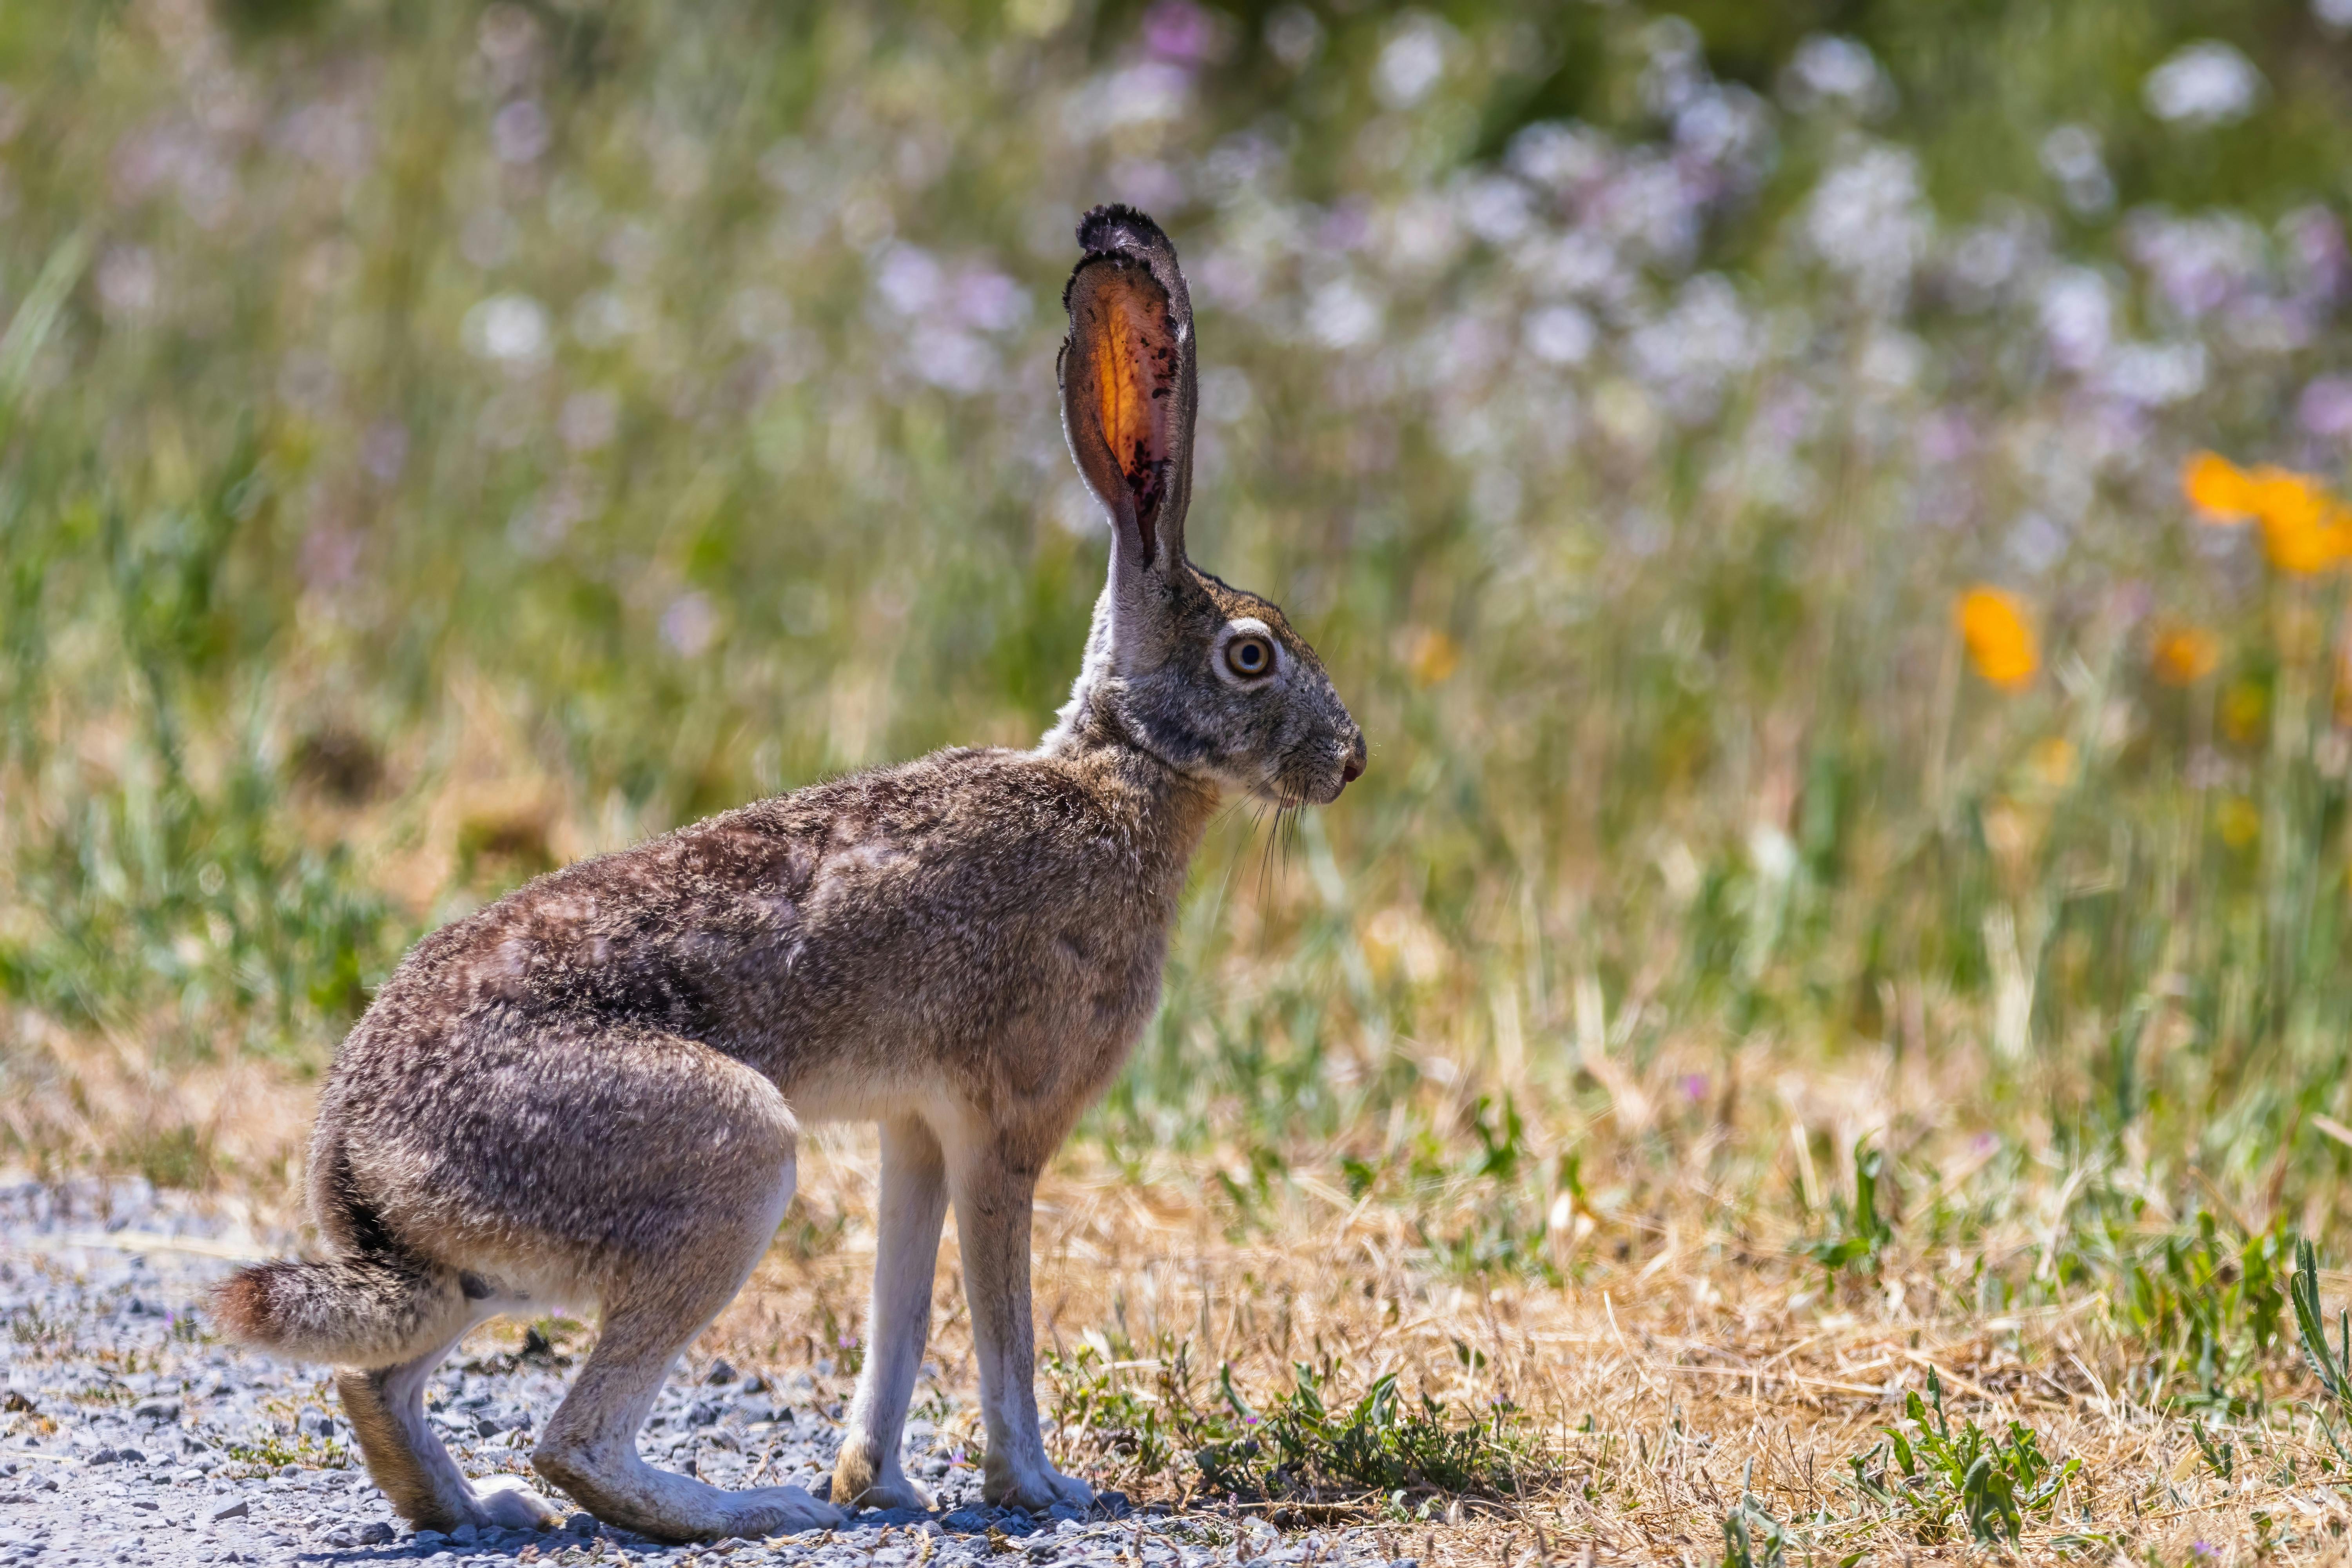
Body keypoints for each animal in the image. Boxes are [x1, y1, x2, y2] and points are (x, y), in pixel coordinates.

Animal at [210, 204, 1366, 1545]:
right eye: (1251, 656)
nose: (1350, 761)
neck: (1119, 775)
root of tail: (358, 1163)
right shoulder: (1007, 1124)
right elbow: (1003, 1323)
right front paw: (1035, 1487)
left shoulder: (919, 1128)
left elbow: (902, 1306)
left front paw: (883, 1482)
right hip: (730, 1158)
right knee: (575, 1435)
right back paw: (733, 1508)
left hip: (484, 1266)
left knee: (377, 1380)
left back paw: (485, 1507)